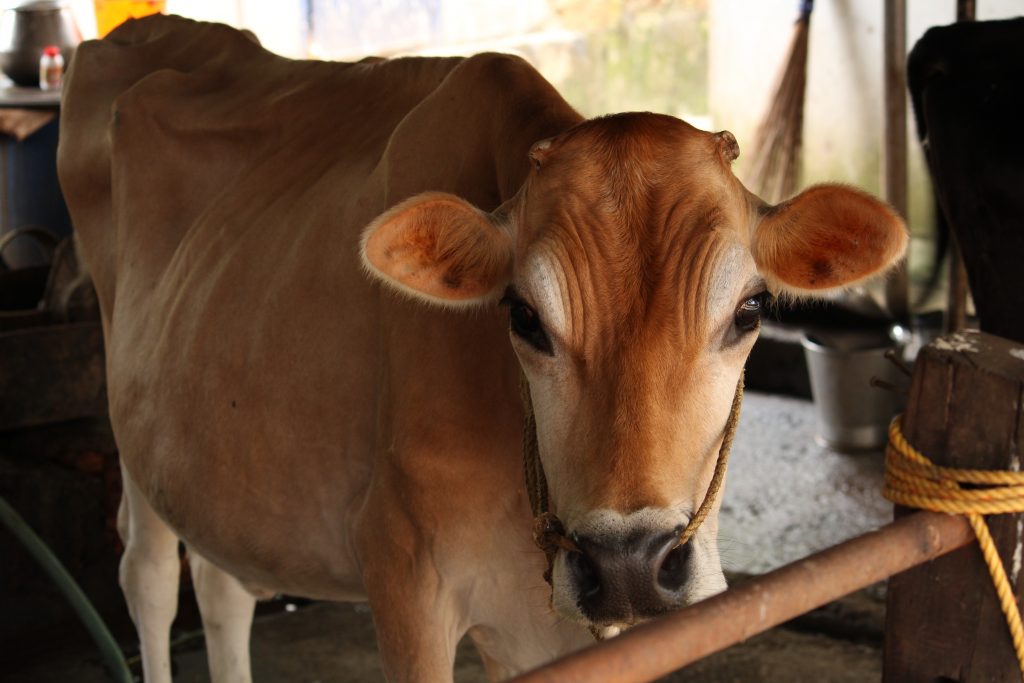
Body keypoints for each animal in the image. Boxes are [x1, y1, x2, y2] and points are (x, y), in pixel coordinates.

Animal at [58, 15, 907, 683]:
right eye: (525, 317)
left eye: (750, 310)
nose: (629, 562)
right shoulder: (403, 576)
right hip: (127, 424)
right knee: (149, 578)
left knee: (222, 583)